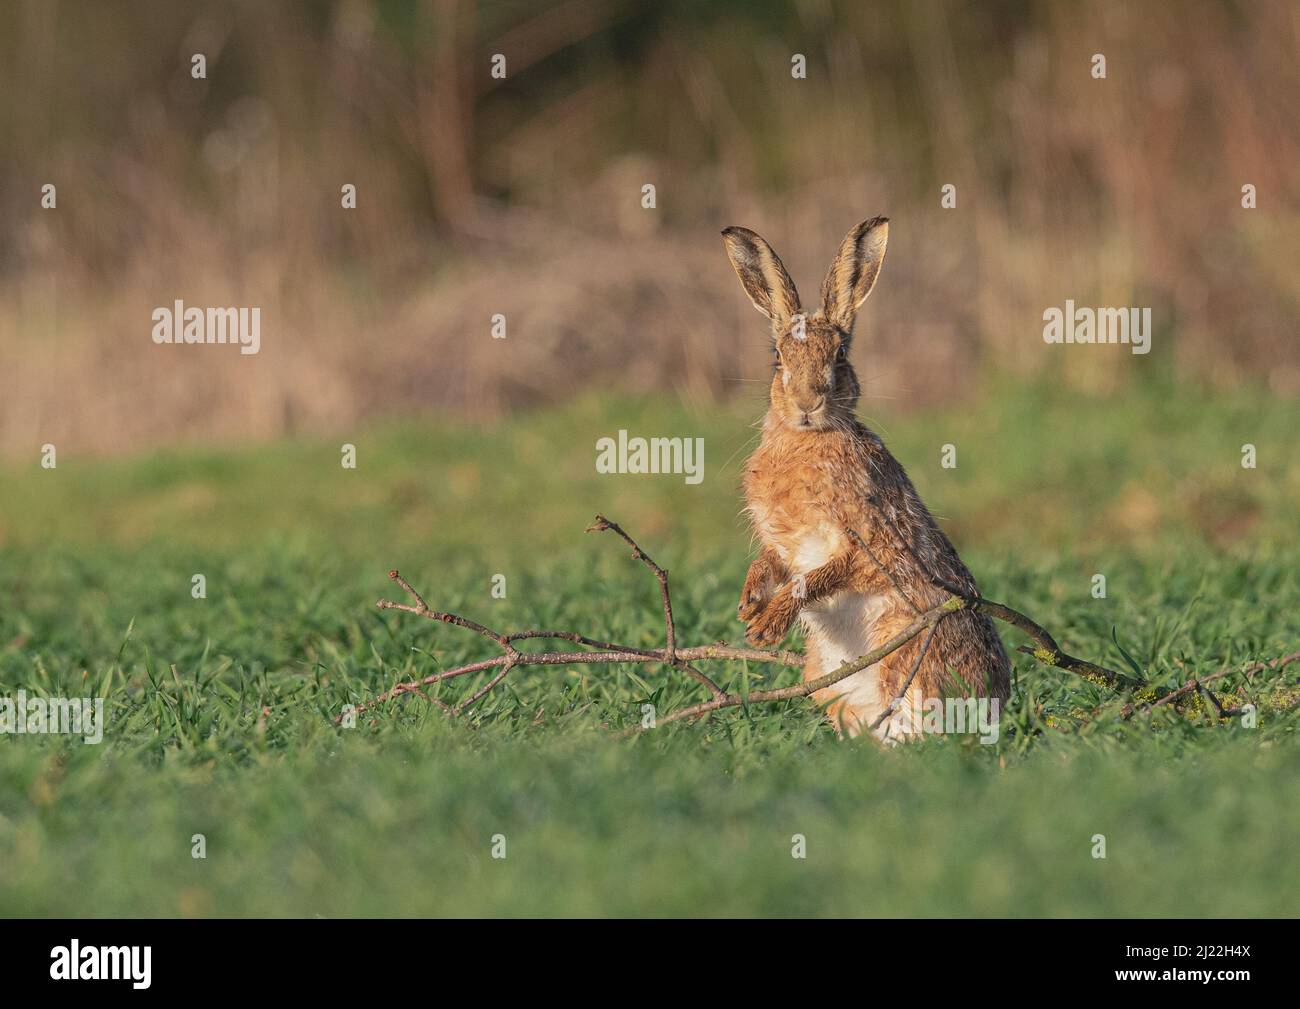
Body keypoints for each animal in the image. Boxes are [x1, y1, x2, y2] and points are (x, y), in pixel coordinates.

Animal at [722, 217, 1010, 741]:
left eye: (838, 355)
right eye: (778, 358)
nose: (807, 402)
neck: (806, 438)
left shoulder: (870, 542)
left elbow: (817, 578)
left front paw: (765, 627)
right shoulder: (781, 542)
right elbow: (772, 562)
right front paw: (749, 604)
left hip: (910, 654)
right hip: (825, 679)